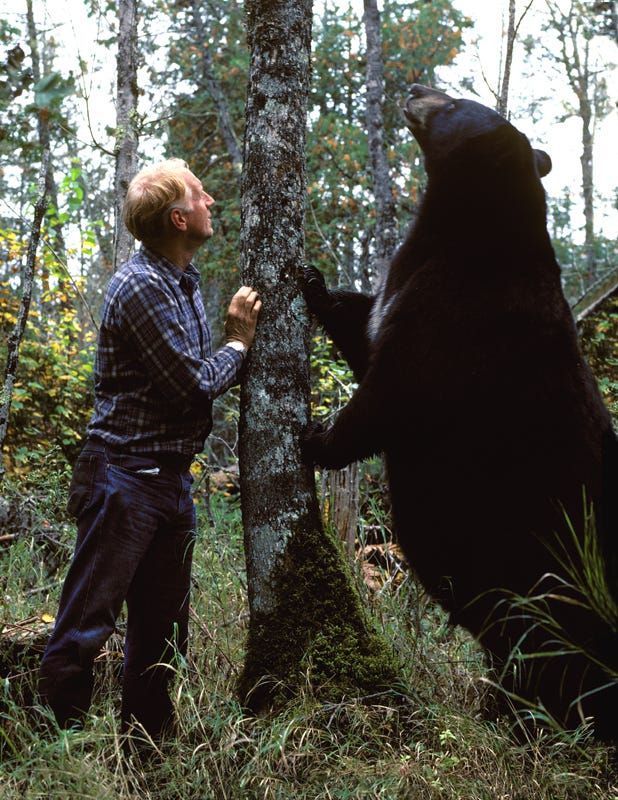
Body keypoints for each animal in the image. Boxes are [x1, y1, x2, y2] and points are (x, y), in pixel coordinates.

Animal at [300, 84, 618, 739]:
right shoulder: (407, 291)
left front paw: (315, 436)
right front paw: (315, 281)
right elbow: (364, 326)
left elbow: (388, 396)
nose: (417, 89)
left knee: (554, 657)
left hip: (552, 570)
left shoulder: (455, 324)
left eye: (454, 100)